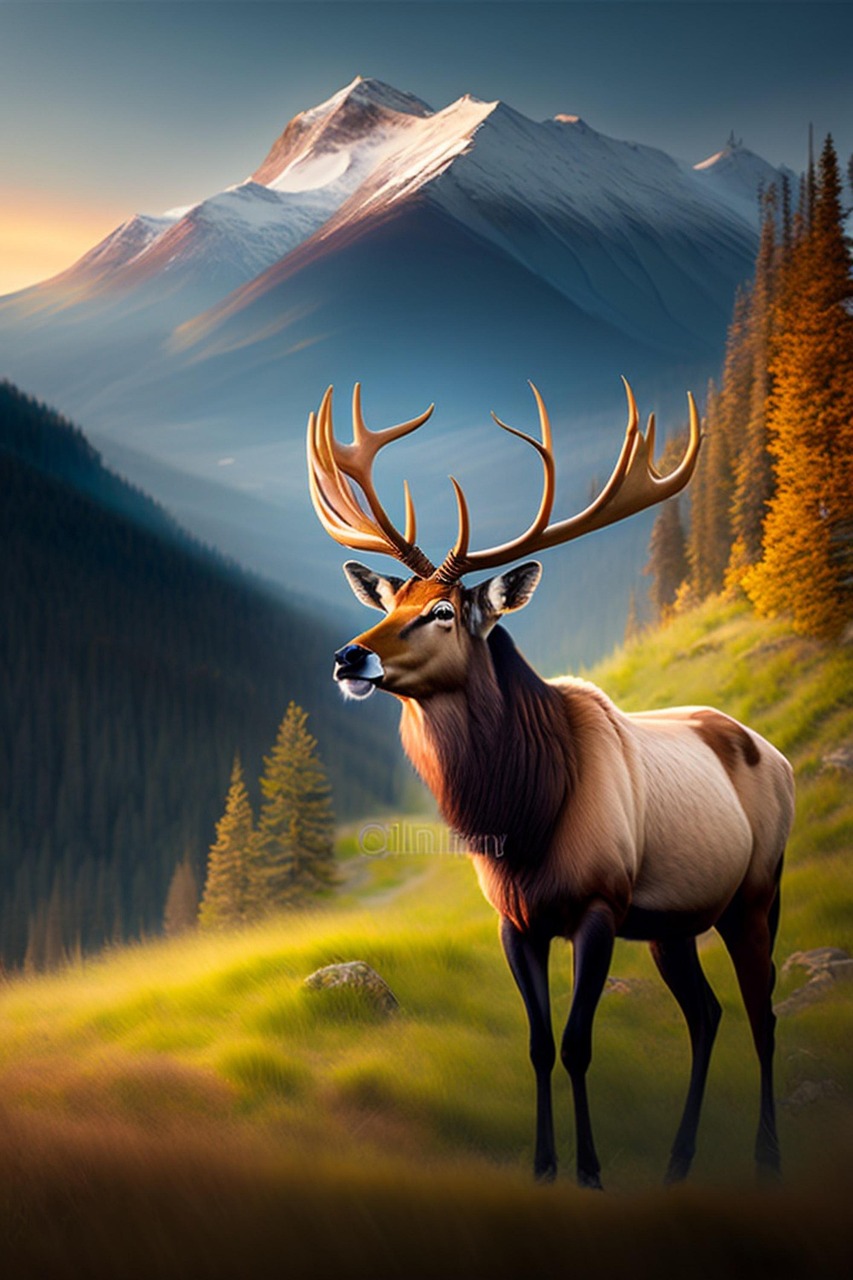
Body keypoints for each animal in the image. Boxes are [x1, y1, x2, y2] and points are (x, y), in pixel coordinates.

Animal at [306, 378, 795, 1188]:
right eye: (388, 604)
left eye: (443, 611)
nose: (348, 657)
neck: (525, 817)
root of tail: (777, 755)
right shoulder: (516, 919)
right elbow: (536, 1044)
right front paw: (542, 1166)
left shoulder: (599, 903)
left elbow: (575, 1043)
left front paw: (591, 1170)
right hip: (673, 922)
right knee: (706, 1014)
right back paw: (678, 1160)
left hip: (755, 894)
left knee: (762, 1012)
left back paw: (766, 1157)